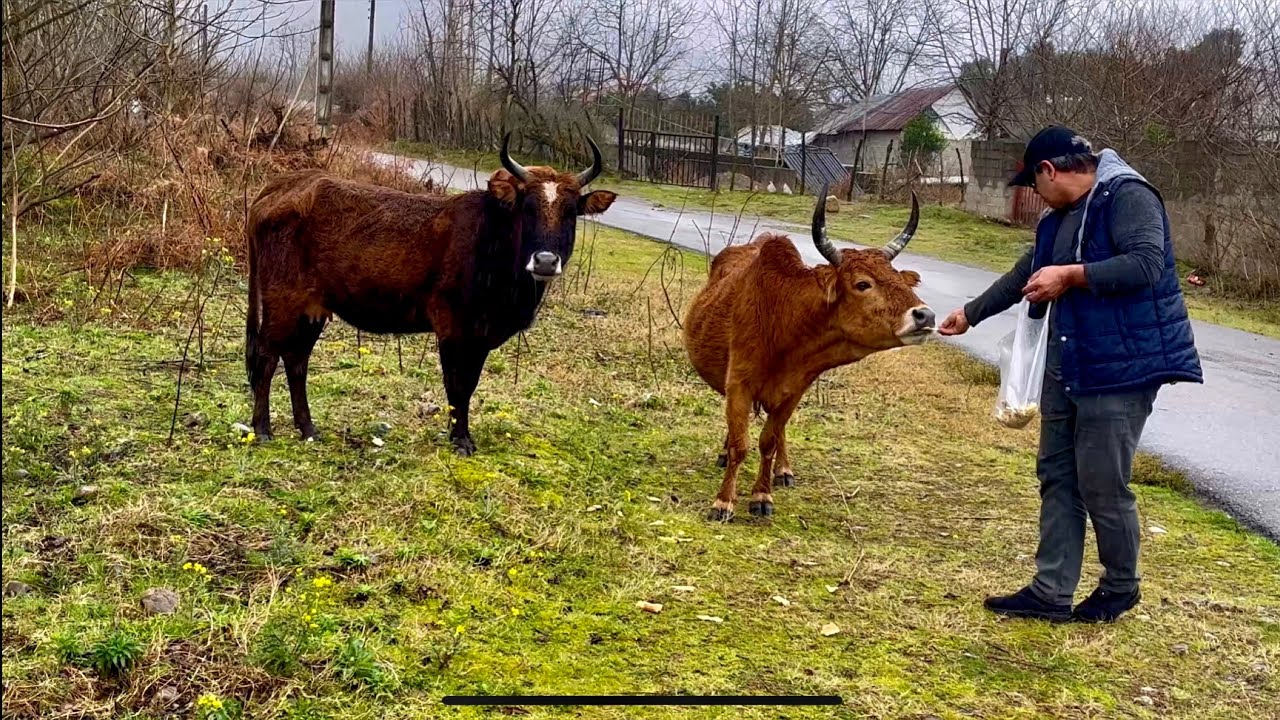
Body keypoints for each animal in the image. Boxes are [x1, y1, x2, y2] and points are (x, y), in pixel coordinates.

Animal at [244, 133, 617, 455]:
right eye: (528, 208)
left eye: (570, 212)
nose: (545, 261)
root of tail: (281, 186)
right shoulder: (452, 325)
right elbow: (457, 384)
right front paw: (460, 439)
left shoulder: (481, 335)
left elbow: (469, 383)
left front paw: (461, 434)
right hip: (282, 300)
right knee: (266, 356)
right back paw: (262, 429)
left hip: (313, 309)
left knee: (296, 360)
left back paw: (308, 429)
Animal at [682, 186, 934, 521]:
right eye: (862, 284)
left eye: (898, 279)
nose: (925, 315)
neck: (783, 319)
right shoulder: (738, 385)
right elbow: (740, 444)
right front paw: (723, 502)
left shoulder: (794, 390)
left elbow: (769, 440)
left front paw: (762, 495)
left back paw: (783, 470)